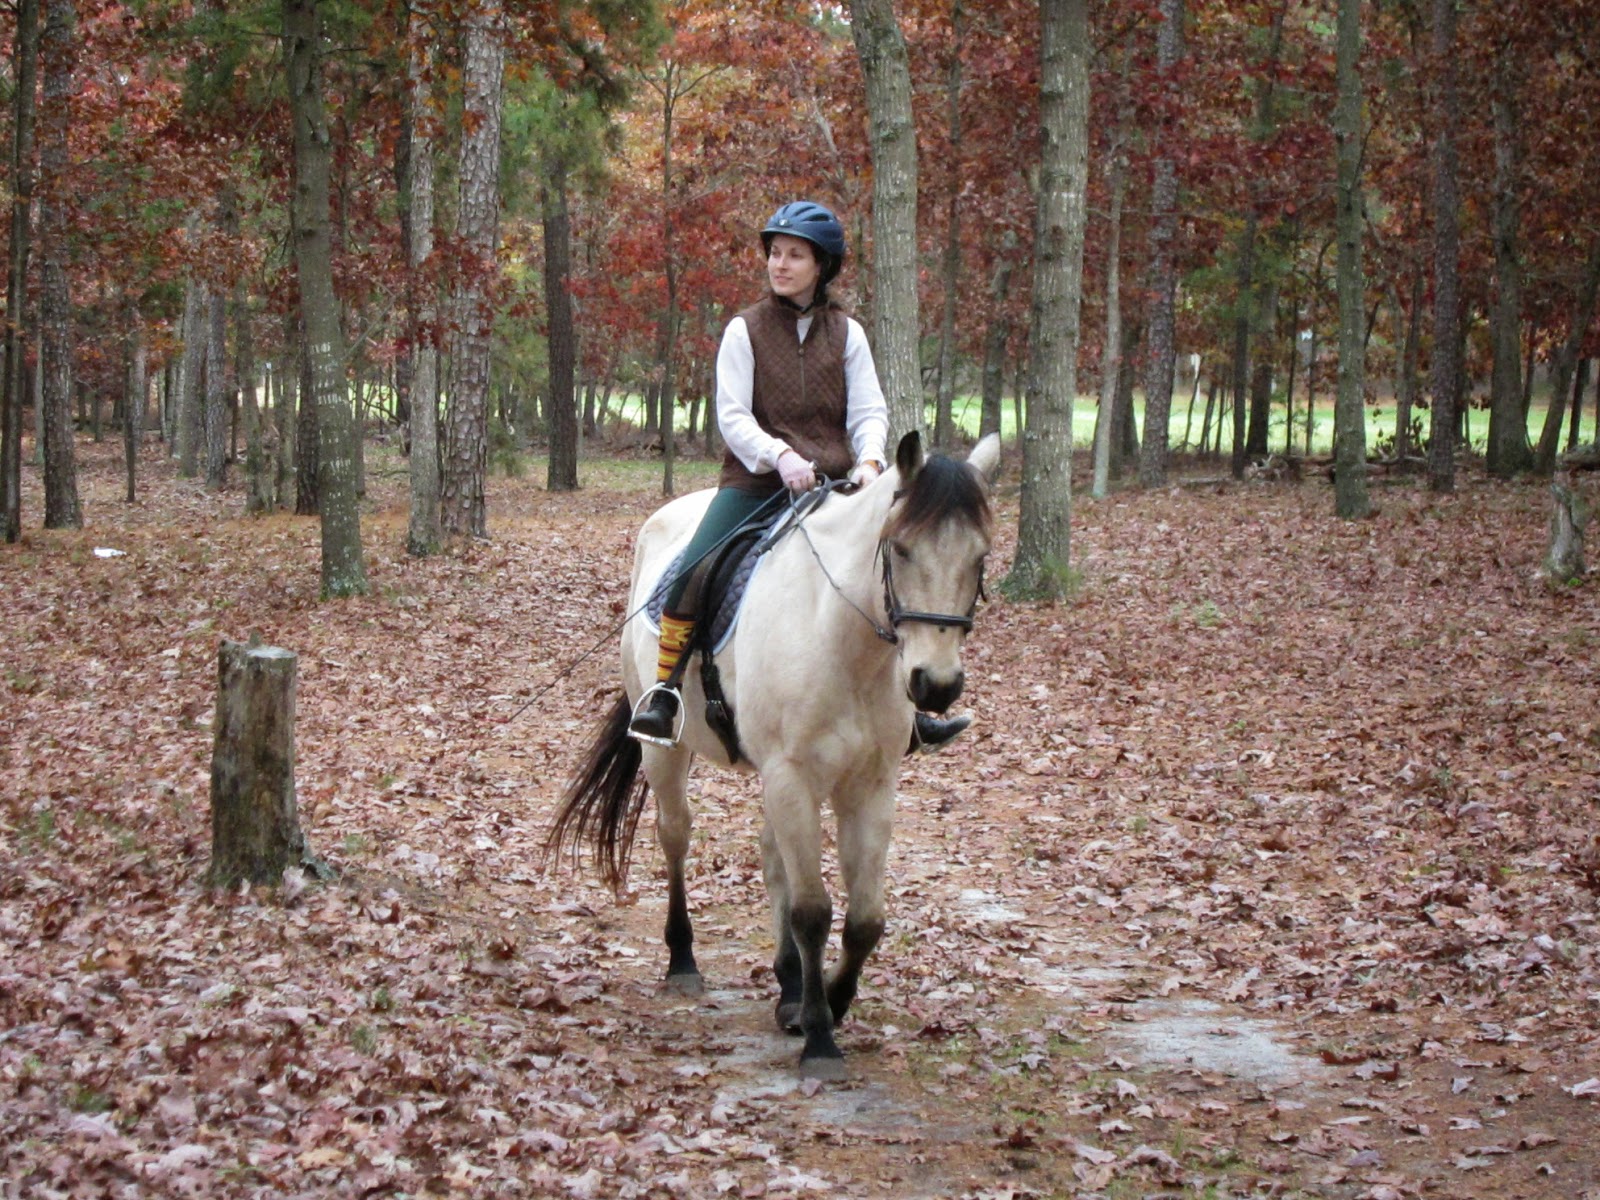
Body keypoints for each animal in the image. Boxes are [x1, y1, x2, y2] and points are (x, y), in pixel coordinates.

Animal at [547, 430, 999, 1078]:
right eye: (901, 548)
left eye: (980, 557)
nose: (935, 686)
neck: (841, 639)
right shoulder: (792, 777)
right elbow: (813, 912)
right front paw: (820, 1037)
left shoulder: (870, 786)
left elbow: (865, 919)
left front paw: (828, 1001)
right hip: (669, 754)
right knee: (676, 836)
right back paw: (683, 961)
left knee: (772, 860)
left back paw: (788, 987)